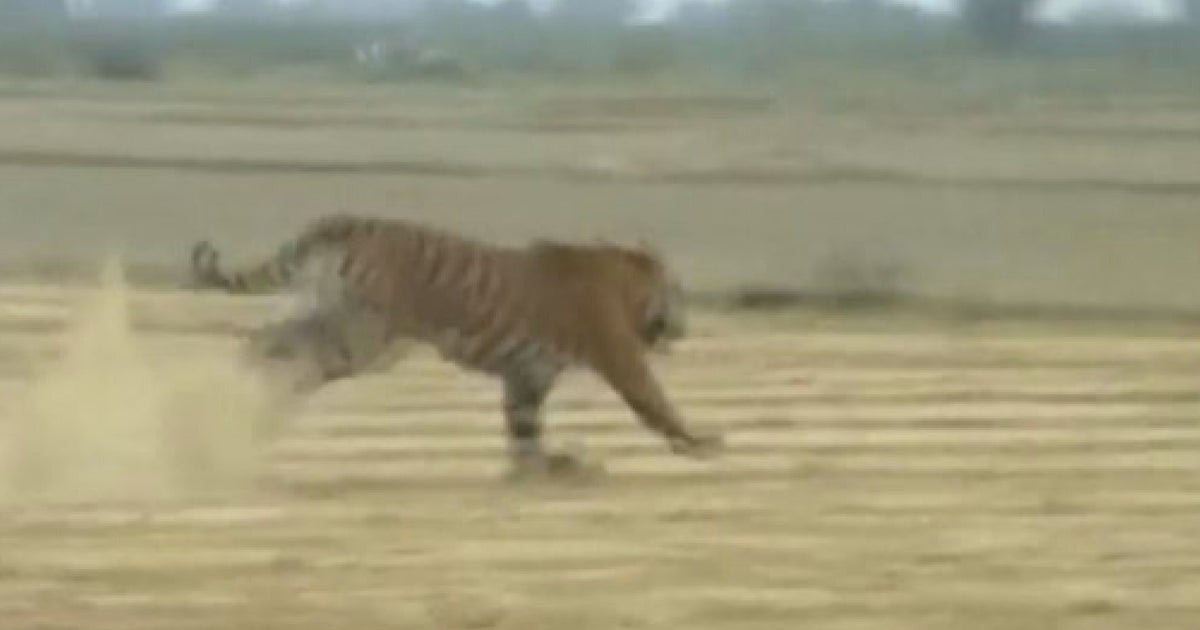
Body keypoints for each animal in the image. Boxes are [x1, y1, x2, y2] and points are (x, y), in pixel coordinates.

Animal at [188, 213, 723, 479]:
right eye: (678, 292)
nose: (685, 327)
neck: (626, 283)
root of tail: (349, 220)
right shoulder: (620, 357)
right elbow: (656, 403)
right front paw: (699, 444)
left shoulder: (527, 376)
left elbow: (524, 428)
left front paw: (541, 468)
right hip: (364, 337)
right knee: (288, 352)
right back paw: (243, 399)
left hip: (331, 314)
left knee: (267, 337)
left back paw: (236, 393)